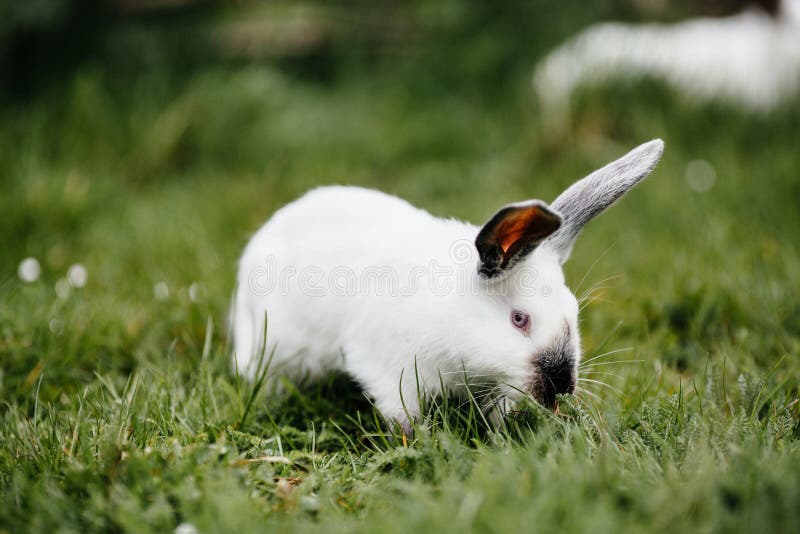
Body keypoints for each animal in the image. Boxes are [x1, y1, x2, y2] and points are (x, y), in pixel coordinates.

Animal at [232, 139, 664, 431]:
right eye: (519, 320)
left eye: (573, 313)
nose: (560, 388)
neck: (455, 315)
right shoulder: (390, 368)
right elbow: (401, 414)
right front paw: (418, 438)